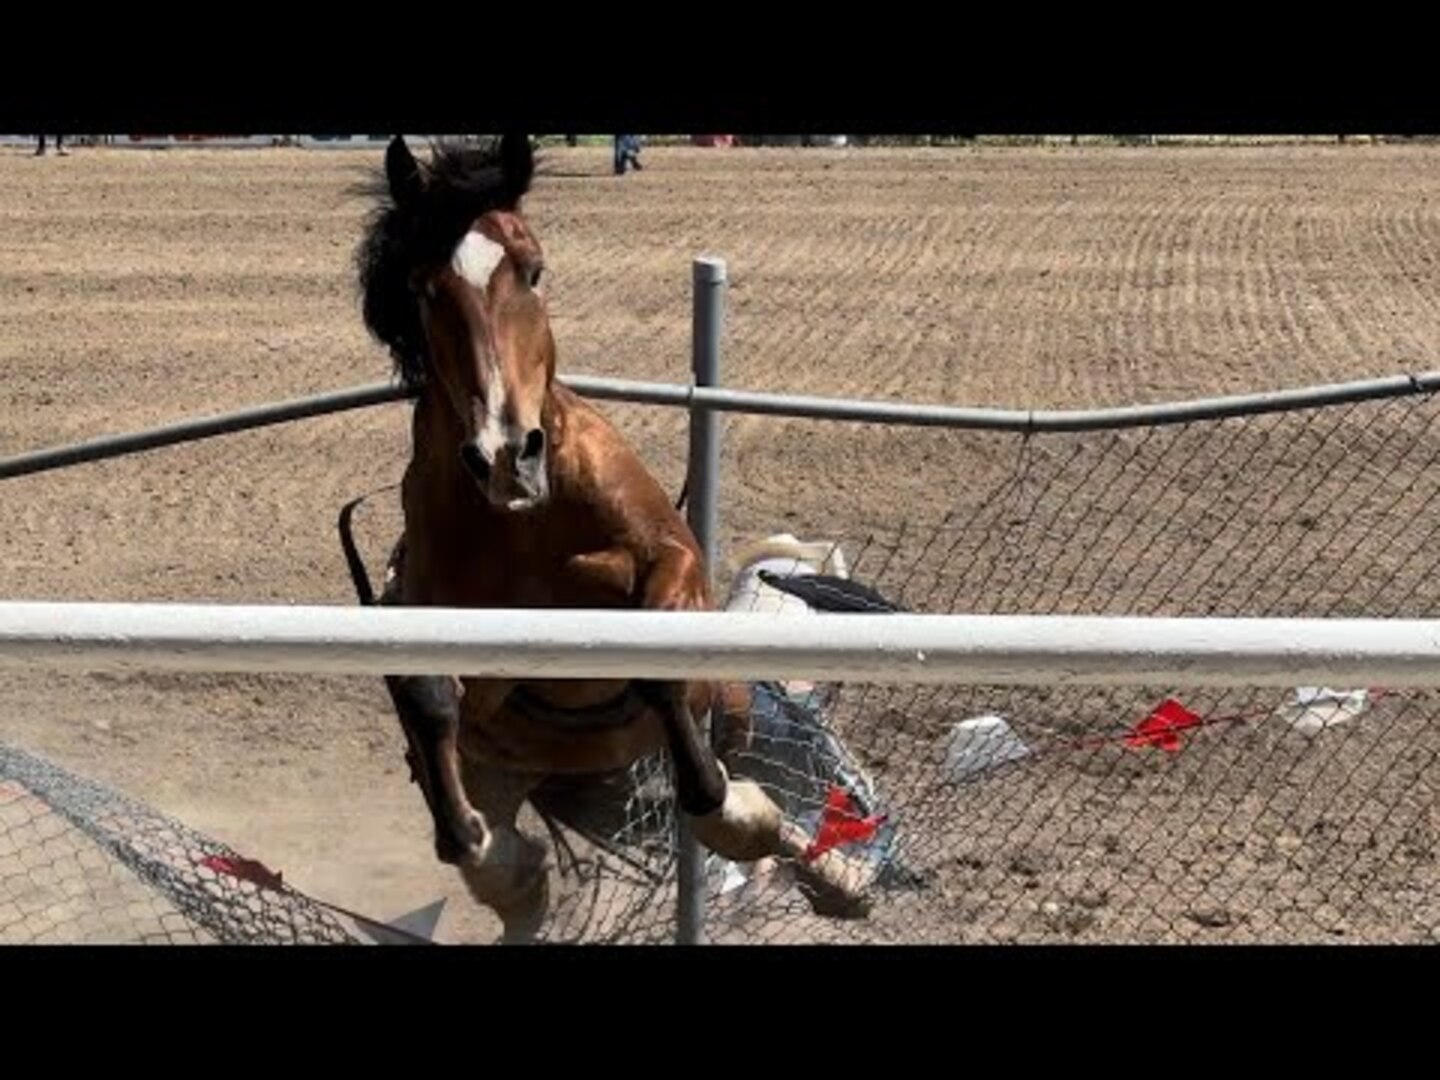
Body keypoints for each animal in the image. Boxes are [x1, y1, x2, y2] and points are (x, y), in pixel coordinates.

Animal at [350, 134, 872, 940]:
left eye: (532, 269)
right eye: (426, 287)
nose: (507, 452)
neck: (519, 523)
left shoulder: (670, 560)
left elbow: (666, 680)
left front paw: (736, 809)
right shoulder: (424, 613)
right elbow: (431, 697)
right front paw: (475, 838)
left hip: (727, 707)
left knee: (757, 798)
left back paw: (828, 871)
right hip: (538, 774)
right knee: (510, 851)